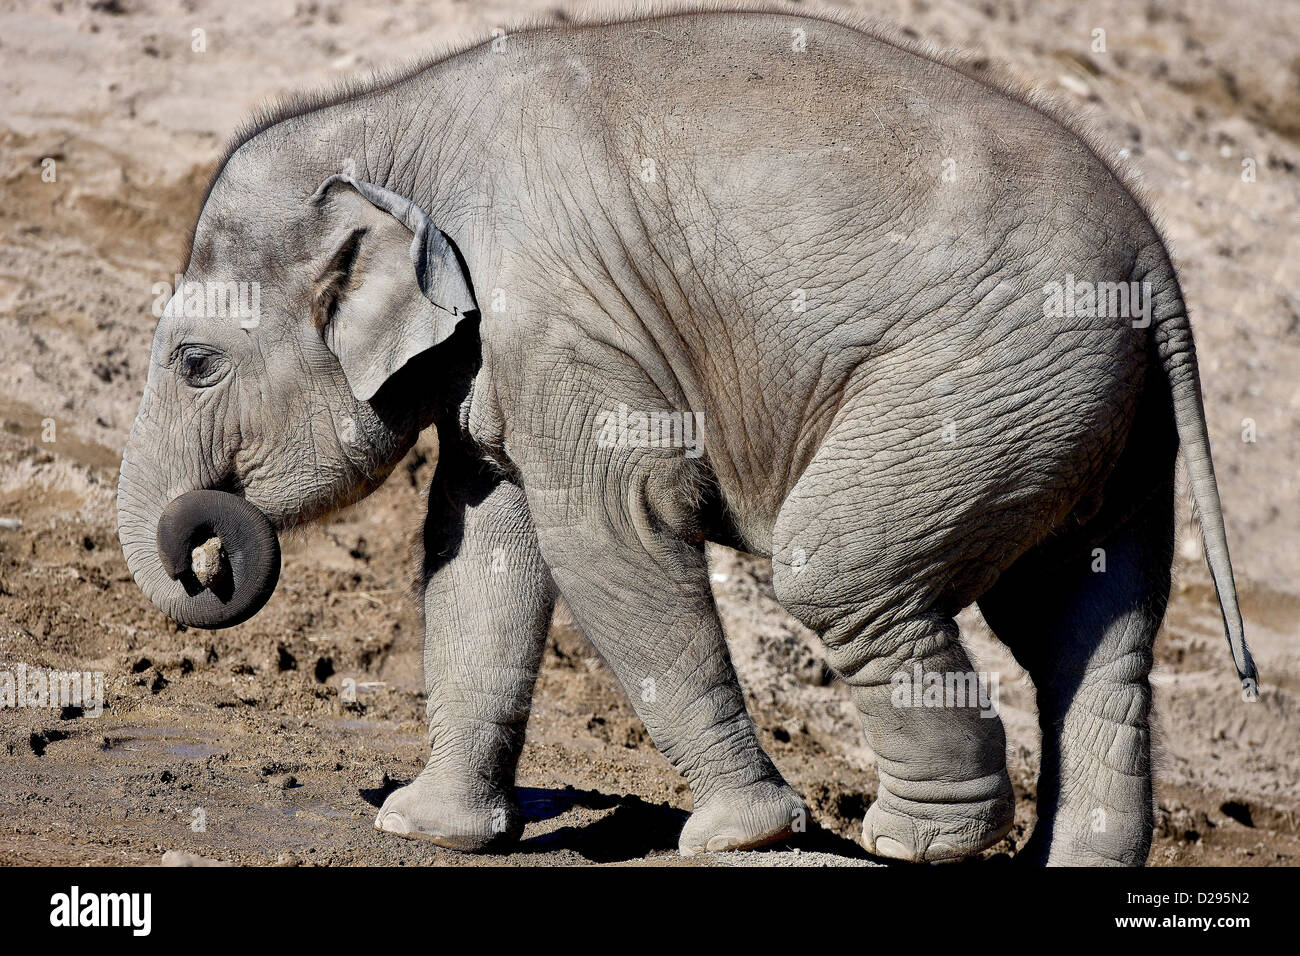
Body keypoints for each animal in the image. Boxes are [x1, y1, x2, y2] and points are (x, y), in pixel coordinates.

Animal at [116, 6, 1256, 866]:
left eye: (196, 363)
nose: (206, 548)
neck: (392, 122)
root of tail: (1155, 261)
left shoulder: (565, 318)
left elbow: (605, 532)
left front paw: (742, 835)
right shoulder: (514, 355)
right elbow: (482, 548)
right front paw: (426, 830)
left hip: (986, 384)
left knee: (841, 569)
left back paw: (914, 841)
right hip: (1088, 418)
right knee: (1086, 625)